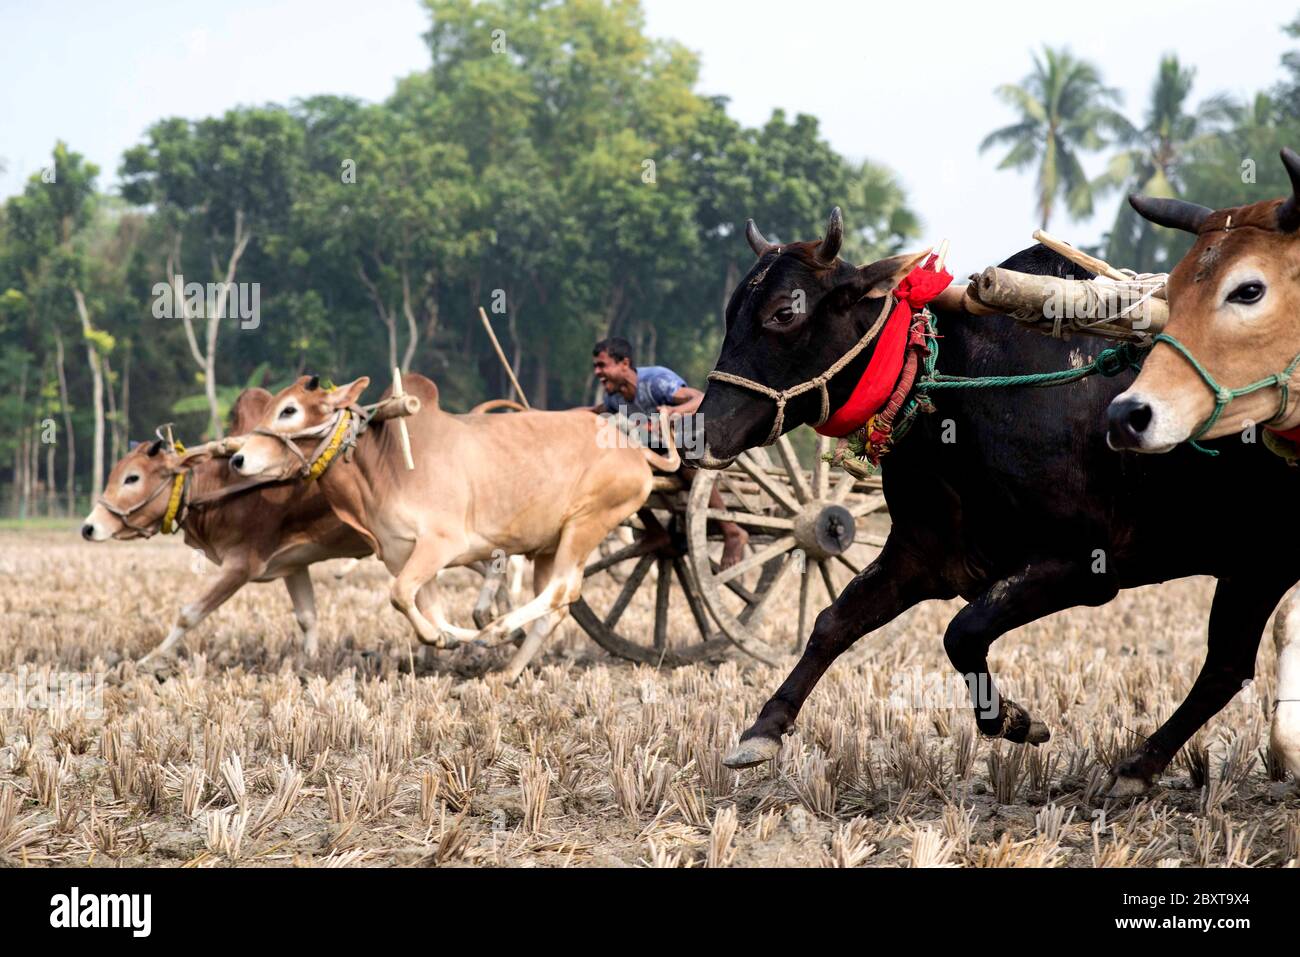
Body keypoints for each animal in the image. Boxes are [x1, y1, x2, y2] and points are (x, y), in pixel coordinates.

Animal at [81, 388, 371, 665]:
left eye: (132, 478)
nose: (88, 527)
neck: (225, 486)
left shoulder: (241, 565)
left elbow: (188, 615)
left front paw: (148, 660)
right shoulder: (294, 563)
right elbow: (306, 617)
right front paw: (309, 662)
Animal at [226, 373, 678, 681]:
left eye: (289, 410)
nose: (237, 459)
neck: (383, 463)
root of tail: (634, 451)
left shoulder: (439, 544)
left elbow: (400, 595)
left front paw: (470, 634)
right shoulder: (401, 554)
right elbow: (428, 610)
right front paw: (451, 638)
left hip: (586, 525)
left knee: (564, 590)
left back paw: (499, 631)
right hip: (549, 545)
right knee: (557, 605)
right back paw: (507, 672)